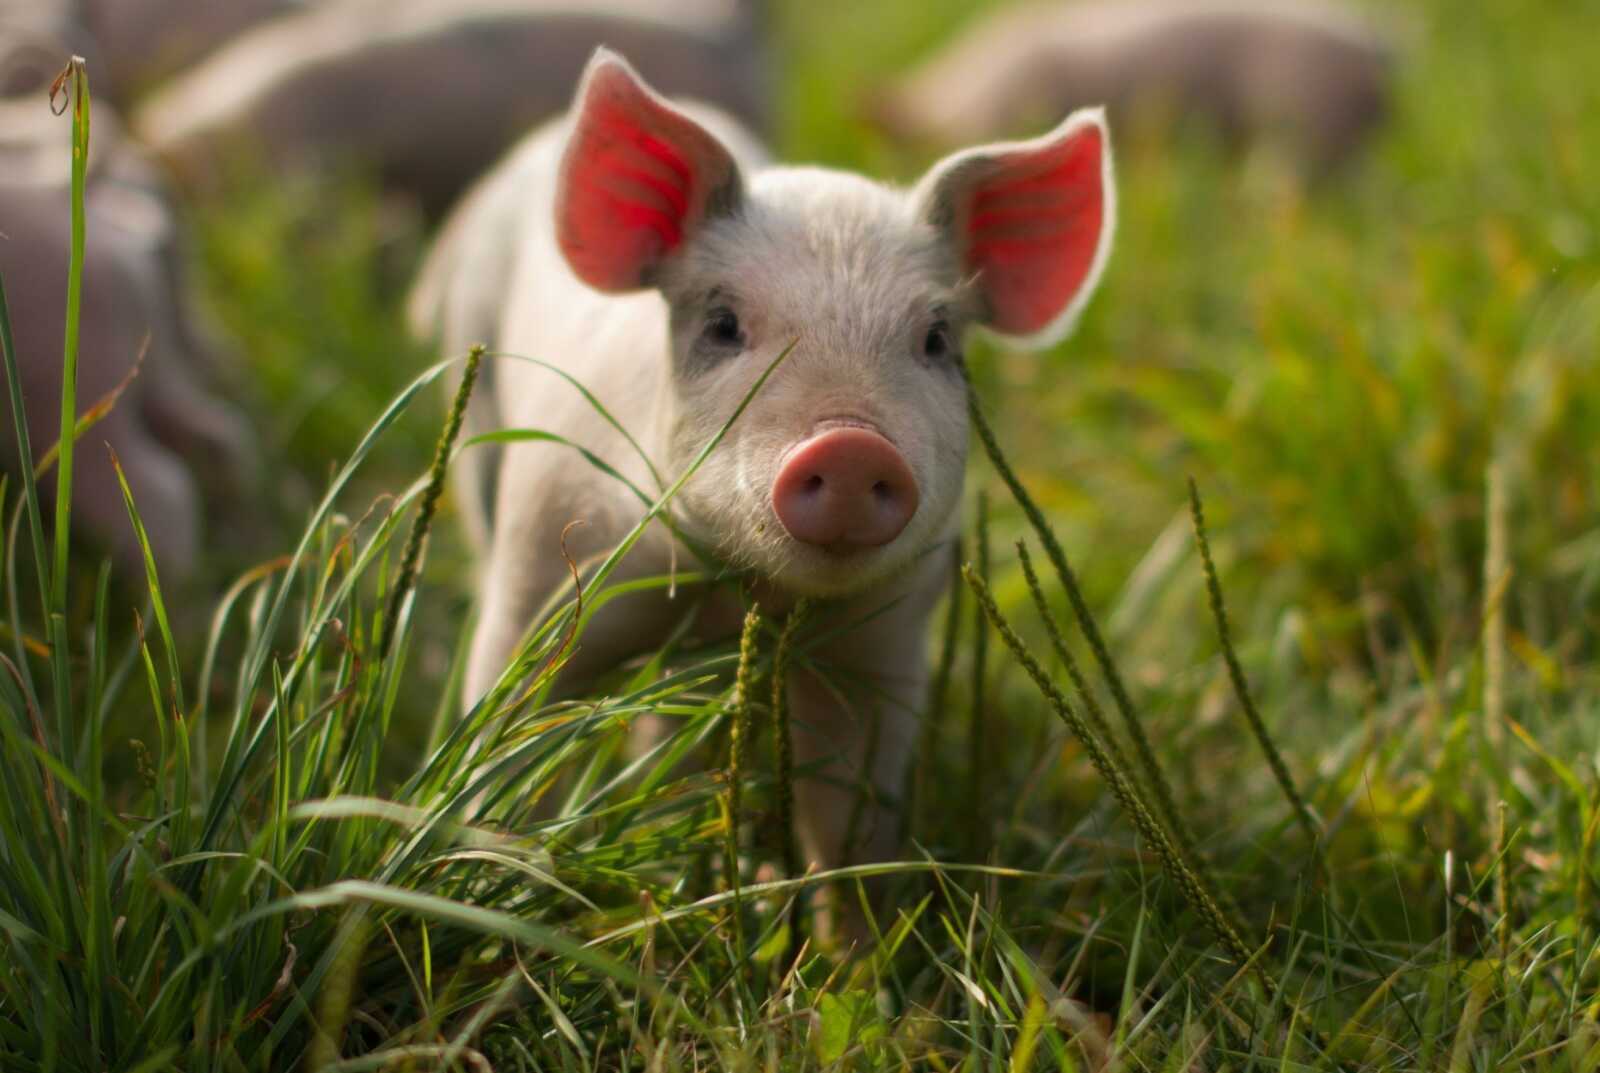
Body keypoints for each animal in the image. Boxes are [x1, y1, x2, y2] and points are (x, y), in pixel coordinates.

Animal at [408, 48, 1116, 943]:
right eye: (722, 324)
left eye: (936, 339)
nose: (849, 445)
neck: (742, 588)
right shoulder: (544, 560)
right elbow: (509, 721)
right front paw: (496, 894)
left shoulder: (884, 638)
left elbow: (850, 819)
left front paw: (851, 962)